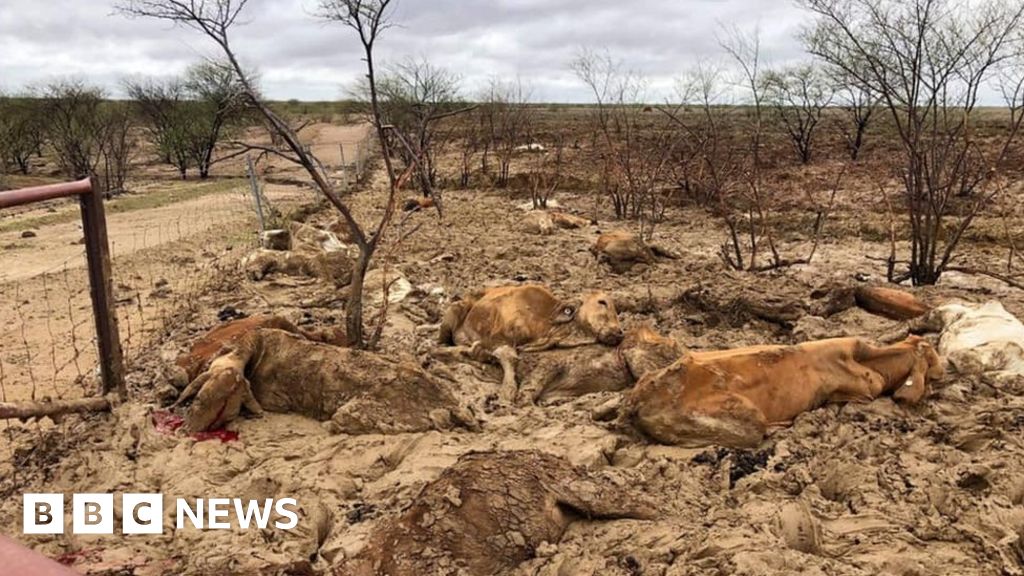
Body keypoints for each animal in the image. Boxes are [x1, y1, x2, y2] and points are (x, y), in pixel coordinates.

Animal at [436, 284, 624, 403]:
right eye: (602, 302)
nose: (619, 332)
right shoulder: (496, 339)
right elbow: (509, 356)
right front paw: (508, 392)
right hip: (453, 311)